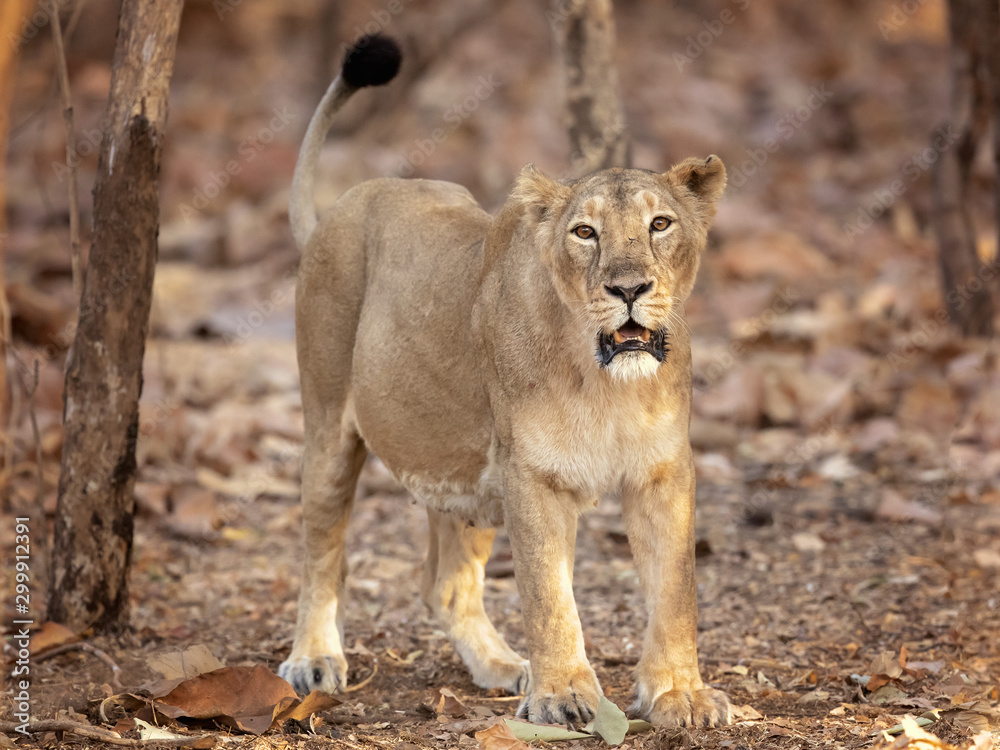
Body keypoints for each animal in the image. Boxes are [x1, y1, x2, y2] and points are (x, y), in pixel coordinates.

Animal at [277, 34, 732, 728]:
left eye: (660, 224)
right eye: (584, 232)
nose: (628, 288)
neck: (607, 384)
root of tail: (342, 205)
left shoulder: (663, 472)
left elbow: (674, 589)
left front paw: (679, 693)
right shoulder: (531, 476)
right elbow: (549, 594)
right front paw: (564, 695)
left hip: (465, 475)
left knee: (443, 584)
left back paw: (499, 666)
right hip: (329, 426)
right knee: (322, 553)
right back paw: (315, 659)